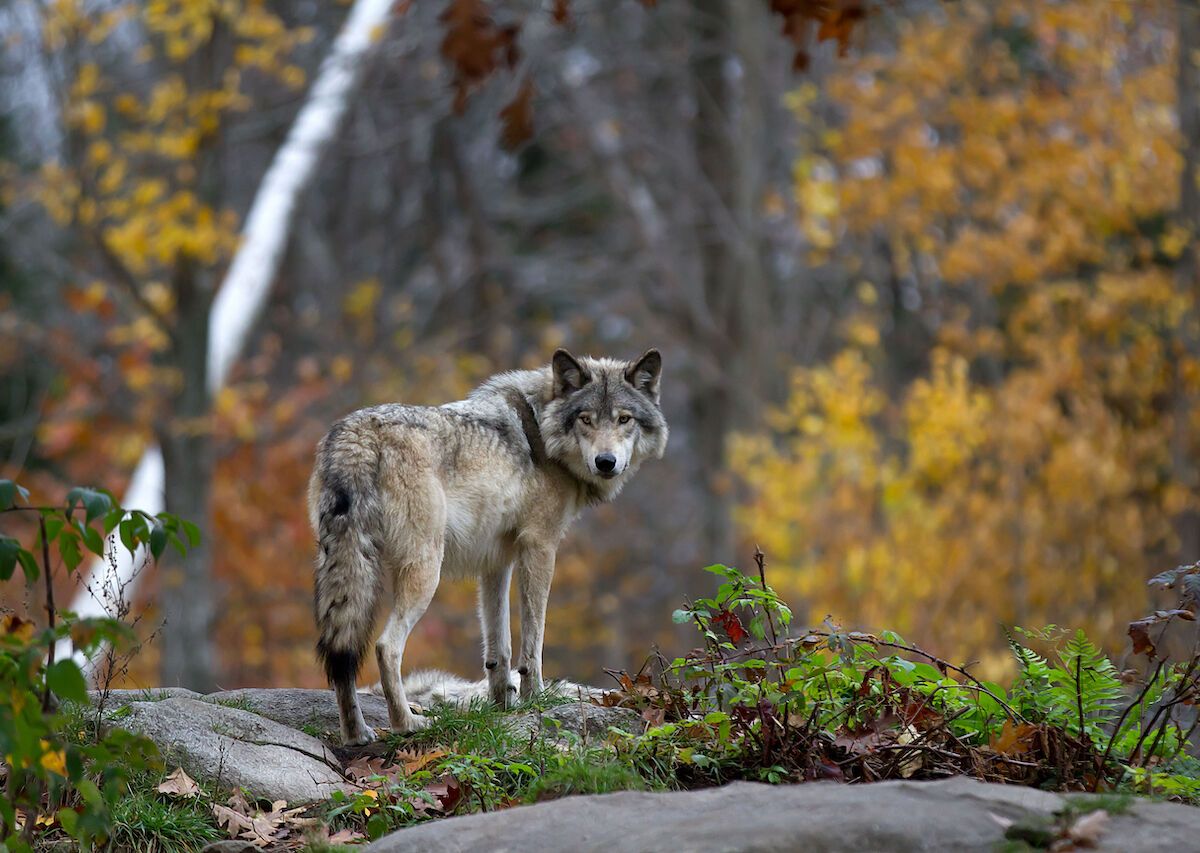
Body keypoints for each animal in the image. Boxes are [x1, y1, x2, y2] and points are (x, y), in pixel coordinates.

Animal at [309, 348, 667, 745]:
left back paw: (356, 734)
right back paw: (407, 723)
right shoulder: (540, 547)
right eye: (586, 419)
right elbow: (533, 641)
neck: (541, 430)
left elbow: (499, 647)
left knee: (341, 653)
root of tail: (357, 434)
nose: (606, 463)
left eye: (624, 419)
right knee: (387, 646)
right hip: (425, 570)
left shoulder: (496, 561)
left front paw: (501, 706)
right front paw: (534, 699)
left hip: (345, 566)